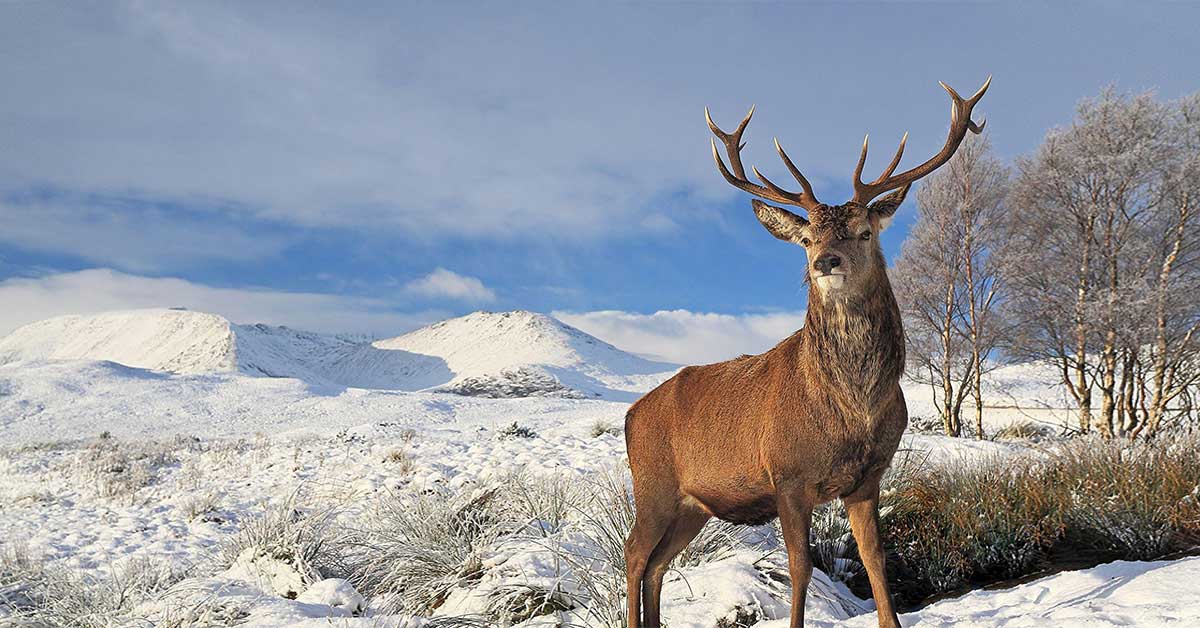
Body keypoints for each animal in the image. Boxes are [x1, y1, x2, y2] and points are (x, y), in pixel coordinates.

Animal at [623, 77, 990, 628]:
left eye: (864, 231)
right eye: (806, 238)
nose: (825, 261)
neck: (852, 409)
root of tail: (630, 415)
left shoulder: (867, 478)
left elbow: (876, 561)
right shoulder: (788, 476)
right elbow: (800, 568)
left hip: (694, 505)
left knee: (658, 565)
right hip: (653, 486)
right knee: (633, 555)